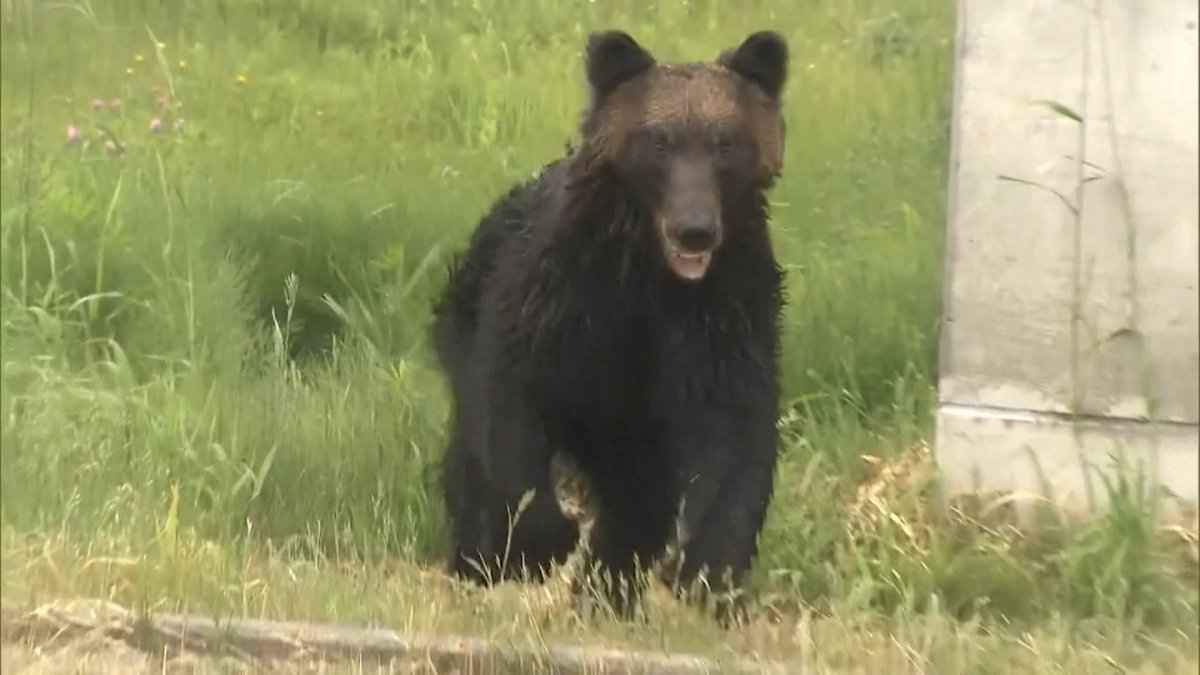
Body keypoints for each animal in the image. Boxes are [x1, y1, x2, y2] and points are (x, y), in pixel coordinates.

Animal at [432, 29, 789, 624]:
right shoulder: (562, 296)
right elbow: (510, 399)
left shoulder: (724, 309)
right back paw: (481, 562)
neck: (648, 269)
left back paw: (603, 594)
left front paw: (706, 571)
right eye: (660, 141)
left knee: (638, 506)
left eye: (725, 143)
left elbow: (738, 428)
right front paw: (539, 543)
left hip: (636, 436)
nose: (695, 230)